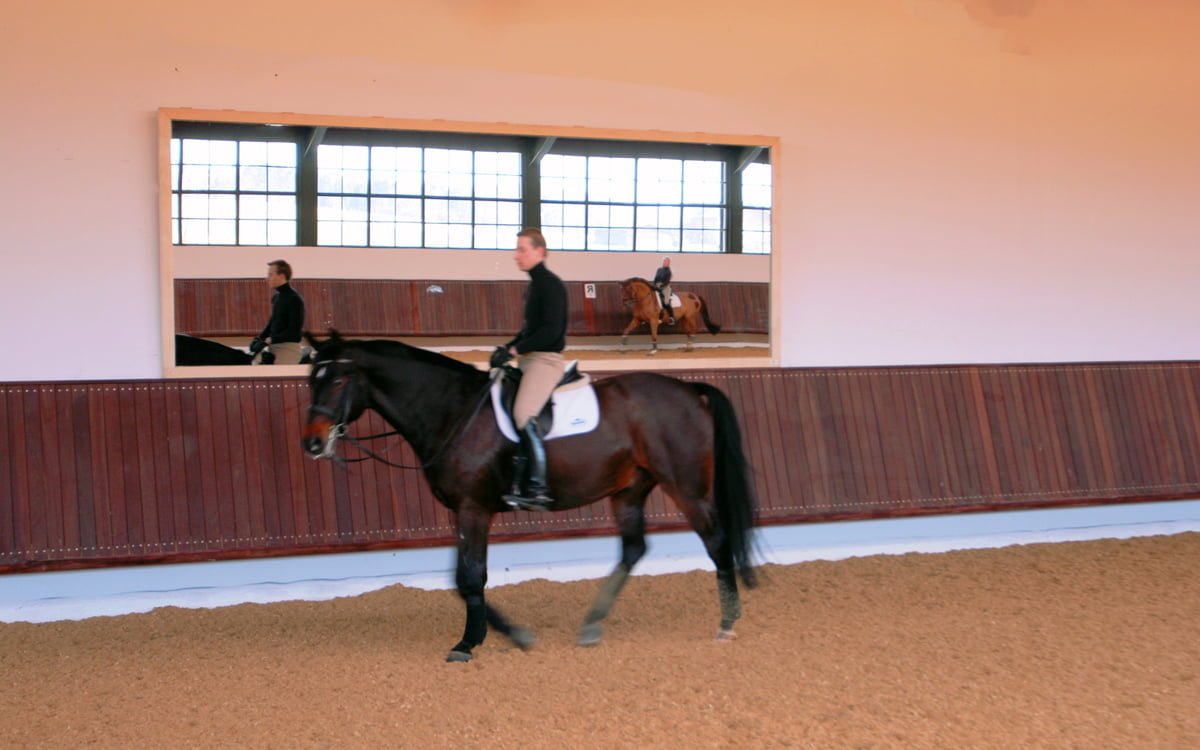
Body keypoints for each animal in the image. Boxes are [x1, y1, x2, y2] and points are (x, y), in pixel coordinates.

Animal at [300, 331, 757, 663]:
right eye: (310, 380)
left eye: (338, 379)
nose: (312, 444)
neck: (453, 412)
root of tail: (689, 390)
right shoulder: (460, 511)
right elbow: (459, 577)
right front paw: (500, 634)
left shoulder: (473, 509)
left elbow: (470, 577)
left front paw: (473, 642)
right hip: (629, 489)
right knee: (634, 549)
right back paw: (591, 625)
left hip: (685, 487)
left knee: (716, 540)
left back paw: (728, 622)